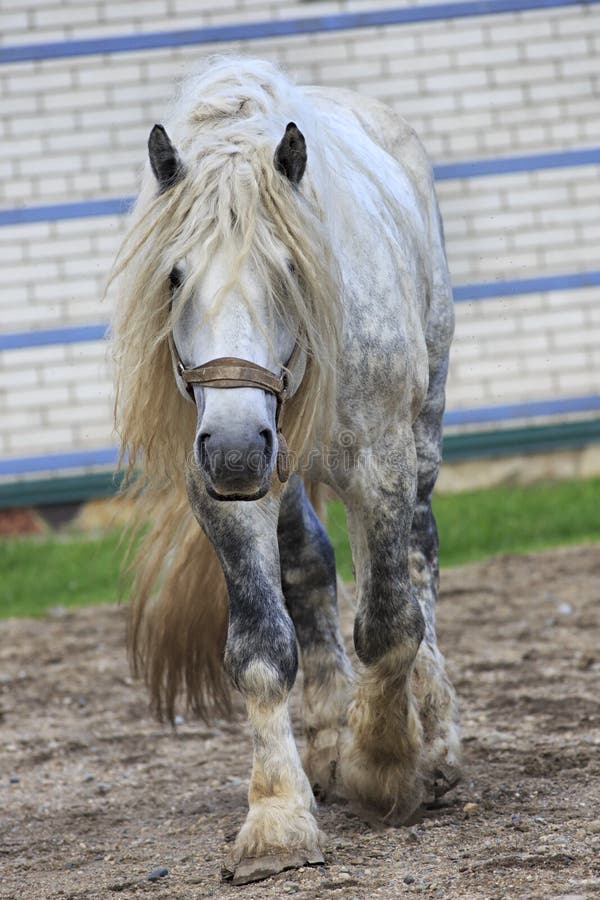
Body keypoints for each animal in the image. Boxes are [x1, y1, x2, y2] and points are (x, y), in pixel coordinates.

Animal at [111, 56, 460, 885]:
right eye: (174, 276)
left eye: (288, 270)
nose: (237, 447)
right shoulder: (227, 496)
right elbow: (263, 648)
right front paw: (278, 819)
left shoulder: (380, 464)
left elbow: (389, 620)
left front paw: (386, 765)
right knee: (310, 565)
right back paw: (331, 739)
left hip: (423, 429)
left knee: (421, 558)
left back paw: (431, 731)